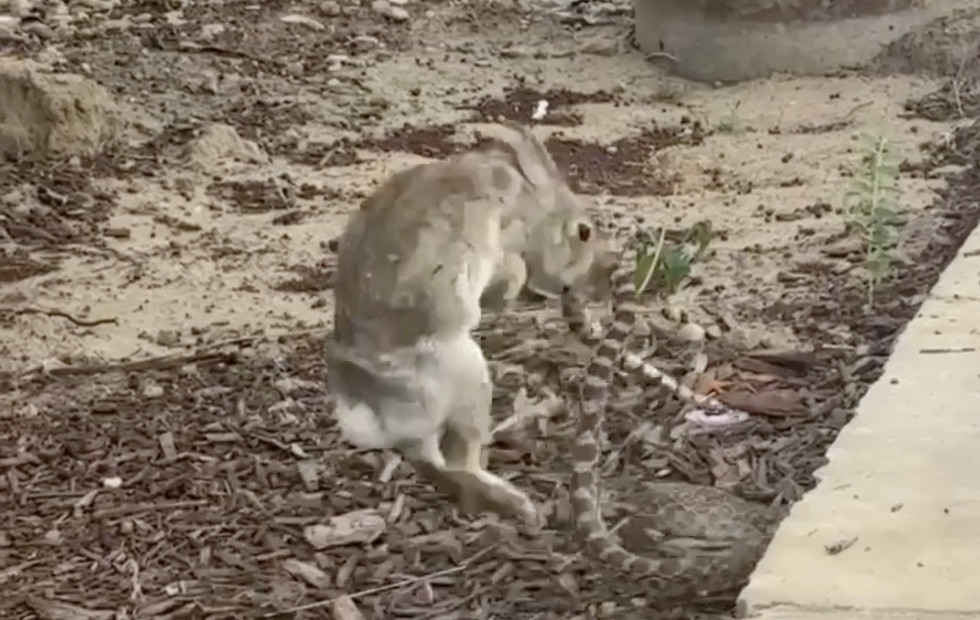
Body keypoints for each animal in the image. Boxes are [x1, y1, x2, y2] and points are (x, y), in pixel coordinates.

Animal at [326, 122, 601, 522]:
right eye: (583, 232)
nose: (575, 286)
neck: (531, 205)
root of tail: (373, 410)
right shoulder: (501, 239)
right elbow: (512, 268)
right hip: (466, 375)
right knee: (454, 461)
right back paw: (518, 504)